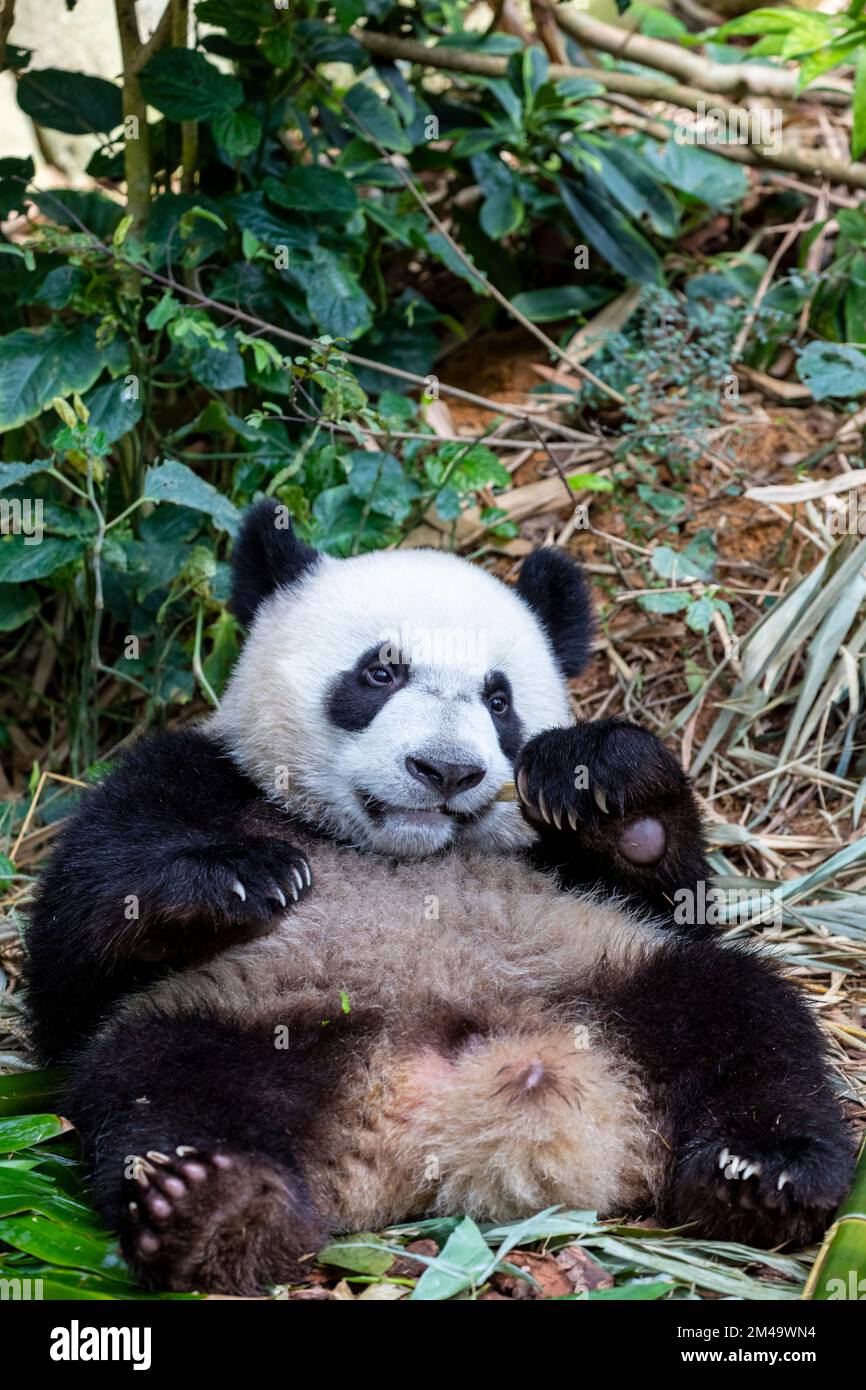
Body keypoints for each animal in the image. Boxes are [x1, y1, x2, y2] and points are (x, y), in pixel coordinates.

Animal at [24, 500, 854, 1295]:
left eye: (499, 698)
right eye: (380, 673)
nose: (447, 770)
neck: (400, 847)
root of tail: (443, 1126)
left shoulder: (561, 865)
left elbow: (679, 901)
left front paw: (600, 775)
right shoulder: (199, 775)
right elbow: (68, 969)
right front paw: (239, 878)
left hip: (609, 979)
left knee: (746, 1018)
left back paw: (763, 1176)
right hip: (252, 1012)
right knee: (155, 1080)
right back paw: (216, 1210)